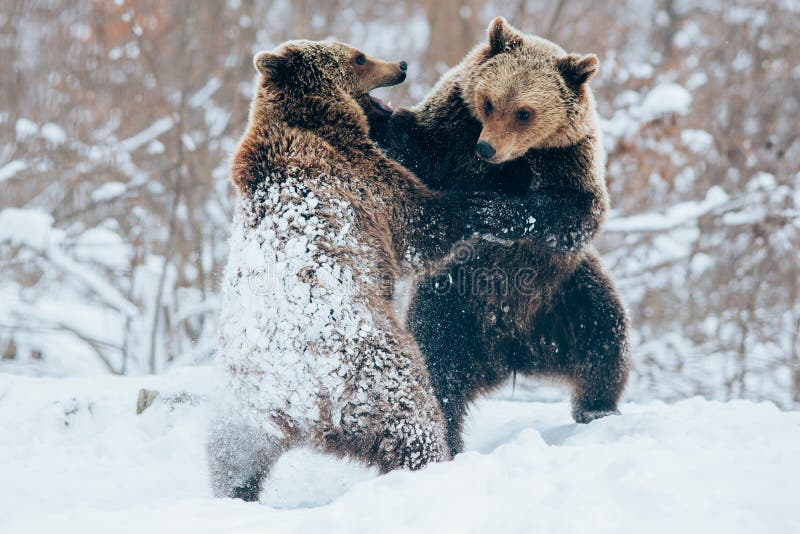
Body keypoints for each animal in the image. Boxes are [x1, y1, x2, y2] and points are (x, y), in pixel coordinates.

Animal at [207, 39, 534, 502]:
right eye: (358, 56)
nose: (401, 64)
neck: (317, 121)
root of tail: (296, 403)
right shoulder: (361, 182)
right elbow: (423, 225)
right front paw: (495, 193)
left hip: (239, 419)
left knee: (230, 462)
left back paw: (237, 493)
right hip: (375, 371)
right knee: (414, 419)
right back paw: (437, 465)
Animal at [368, 17, 631, 455]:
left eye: (525, 112)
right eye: (489, 102)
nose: (487, 149)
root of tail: (515, 351)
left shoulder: (570, 156)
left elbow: (578, 213)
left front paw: (493, 210)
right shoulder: (453, 131)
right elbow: (416, 148)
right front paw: (375, 112)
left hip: (564, 295)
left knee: (605, 339)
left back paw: (598, 411)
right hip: (450, 301)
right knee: (438, 367)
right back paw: (448, 438)